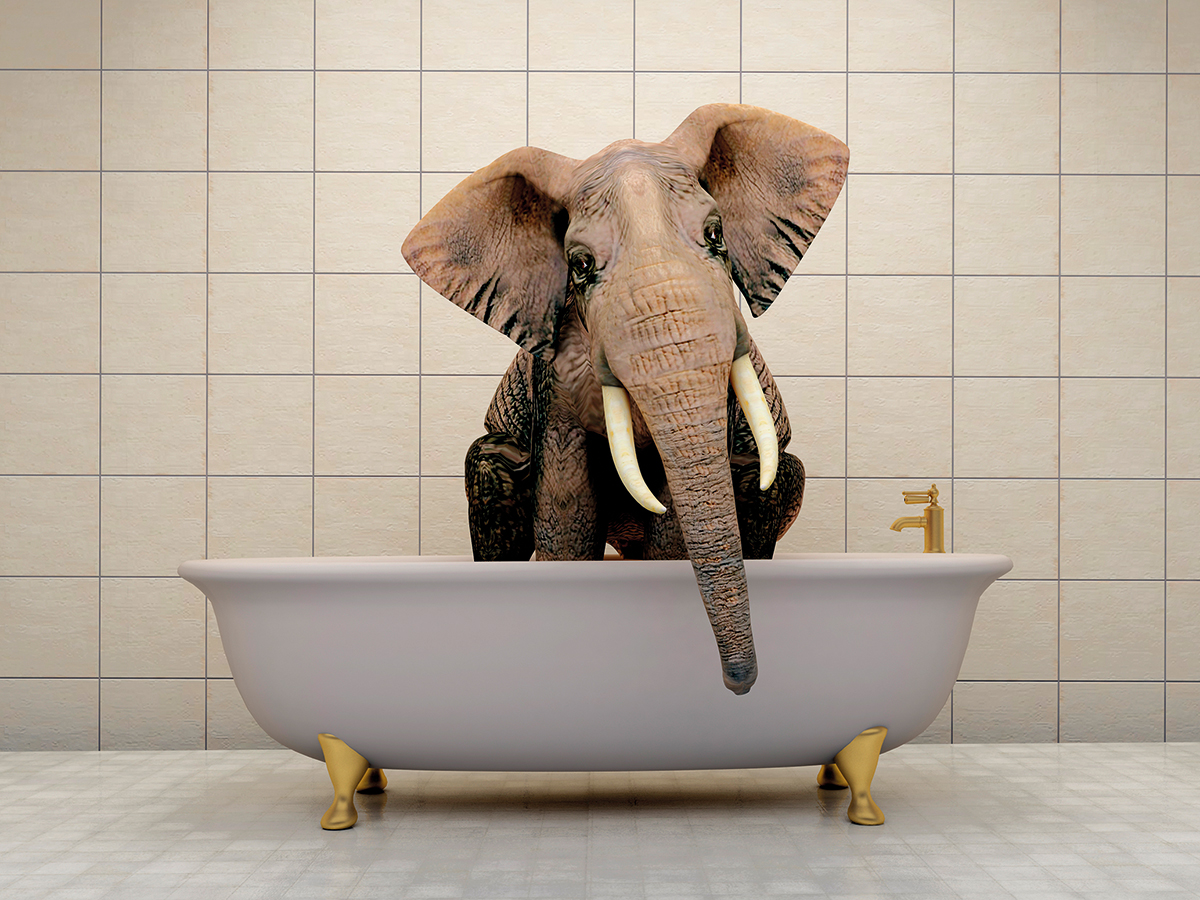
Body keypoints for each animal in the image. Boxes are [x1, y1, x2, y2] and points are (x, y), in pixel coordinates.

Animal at [402, 104, 848, 695]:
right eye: (580, 266)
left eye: (715, 234)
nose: (741, 684)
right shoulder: (557, 380)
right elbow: (566, 501)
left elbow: (675, 514)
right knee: (491, 462)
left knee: (765, 472)